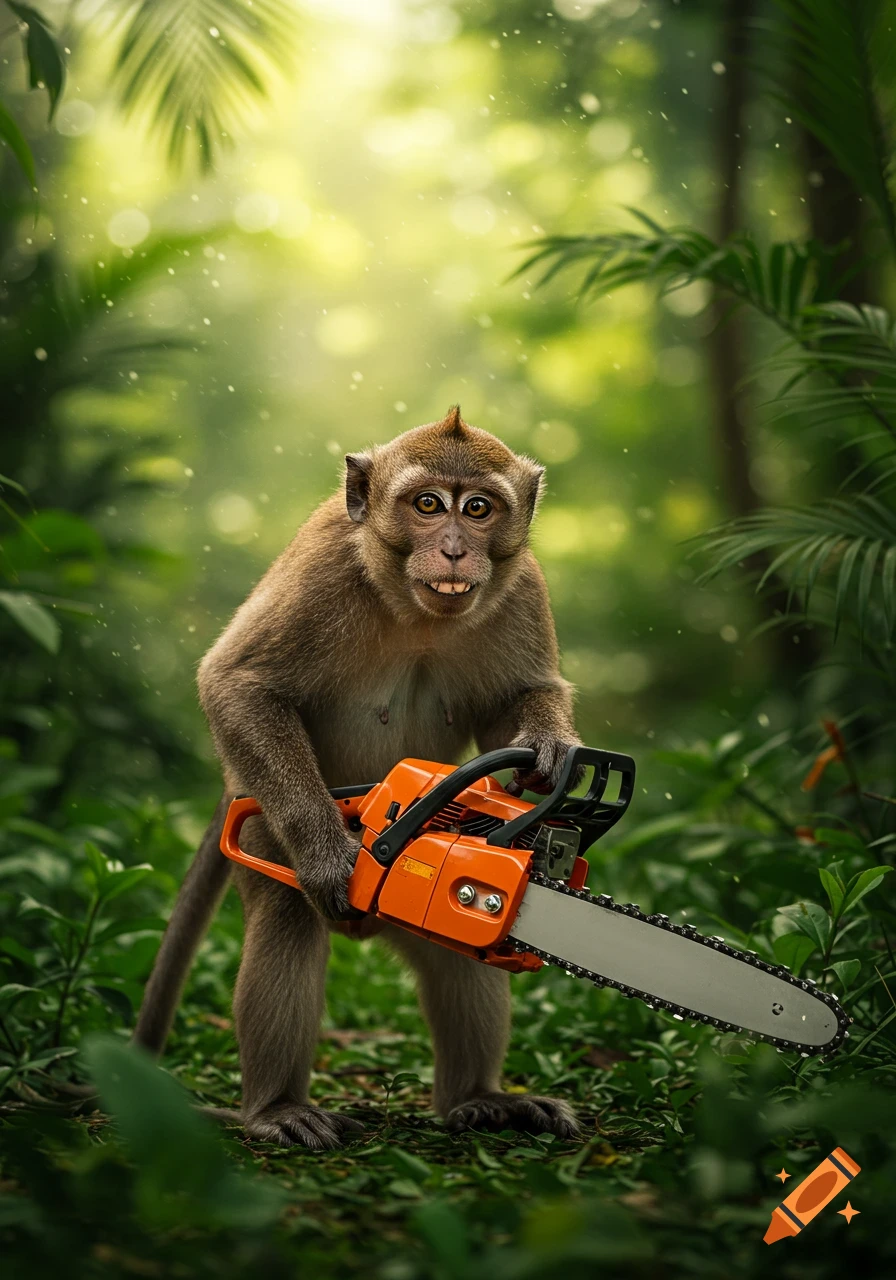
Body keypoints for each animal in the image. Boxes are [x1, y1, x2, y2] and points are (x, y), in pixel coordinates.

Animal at [134, 406, 583, 1149]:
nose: (455, 550)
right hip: (261, 828)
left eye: (479, 508)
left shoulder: (524, 586)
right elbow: (237, 685)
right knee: (285, 925)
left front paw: (551, 750)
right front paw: (328, 859)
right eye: (428, 505)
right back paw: (277, 1109)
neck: (413, 610)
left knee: (462, 956)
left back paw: (480, 1098)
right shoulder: (322, 572)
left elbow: (521, 701)